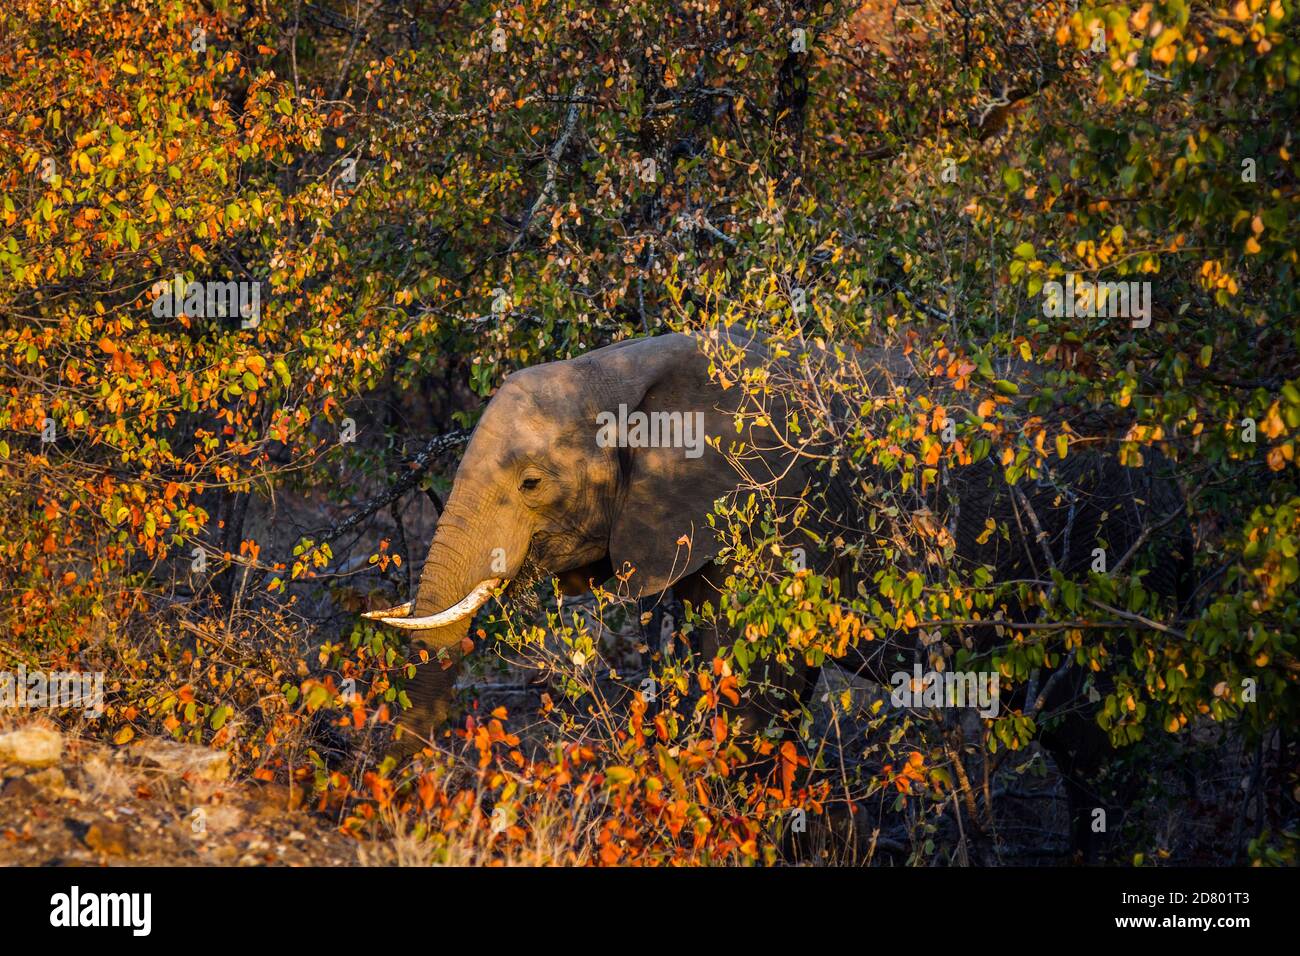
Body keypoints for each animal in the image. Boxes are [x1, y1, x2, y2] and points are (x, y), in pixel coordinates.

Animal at [364, 325, 1193, 859]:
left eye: (533, 484)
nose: (398, 807)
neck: (626, 367)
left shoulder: (771, 503)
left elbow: (759, 682)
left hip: (1121, 556)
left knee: (1100, 735)